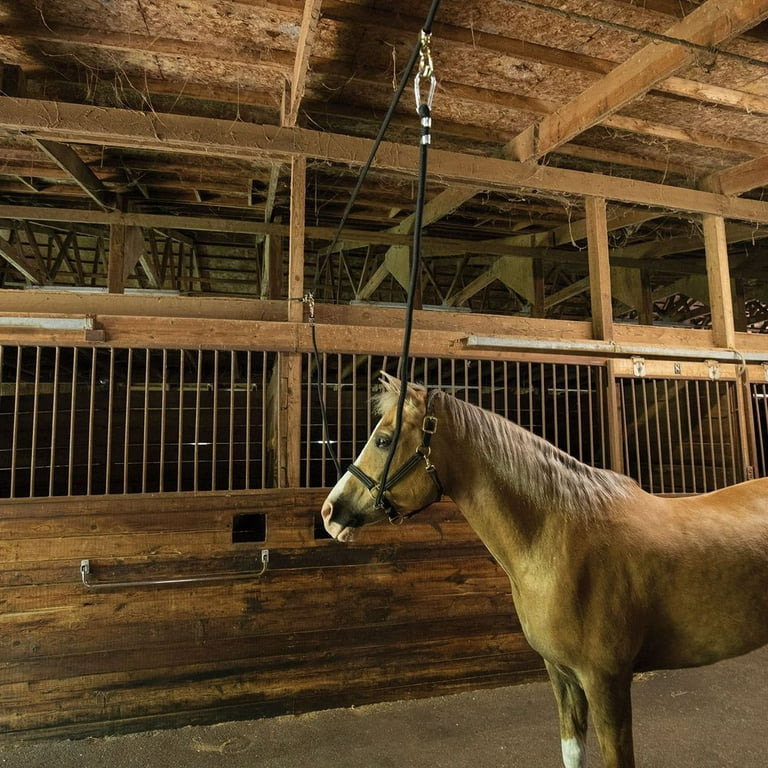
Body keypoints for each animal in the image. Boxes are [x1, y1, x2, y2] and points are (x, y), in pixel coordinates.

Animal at [321, 372, 768, 768]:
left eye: (382, 440)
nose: (329, 512)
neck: (558, 538)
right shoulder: (561, 676)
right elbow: (572, 753)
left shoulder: (606, 681)